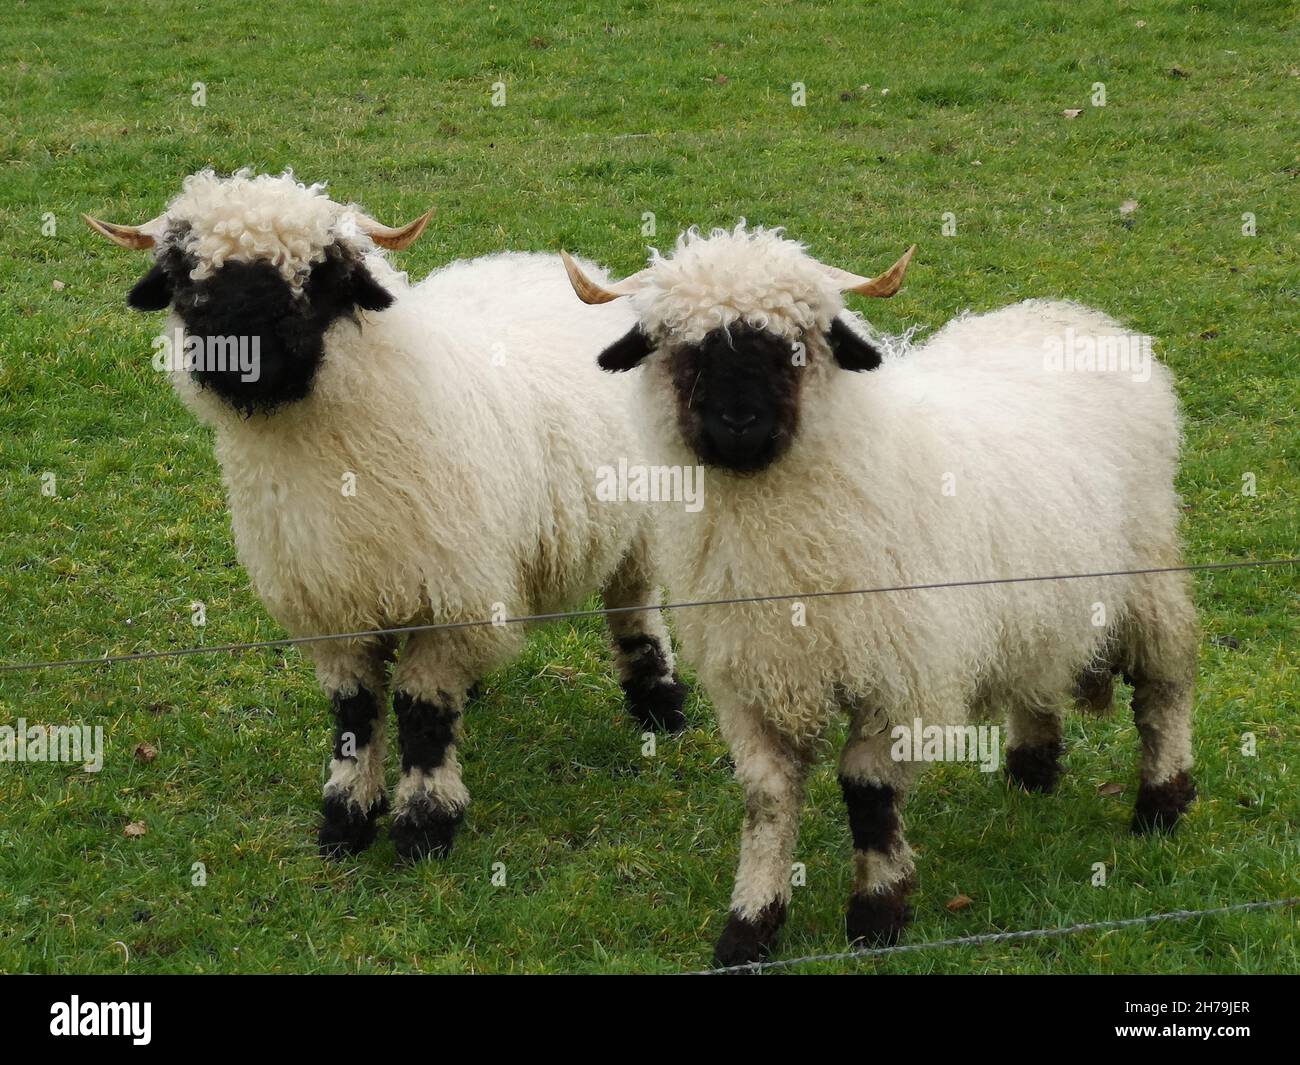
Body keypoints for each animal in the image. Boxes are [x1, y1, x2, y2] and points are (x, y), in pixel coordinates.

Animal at [84, 168, 688, 862]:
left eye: (321, 273)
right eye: (184, 272)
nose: (237, 346)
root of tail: (542, 262)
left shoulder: (448, 598)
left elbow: (420, 712)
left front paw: (424, 823)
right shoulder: (333, 607)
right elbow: (354, 711)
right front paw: (346, 816)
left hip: (639, 529)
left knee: (635, 609)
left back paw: (659, 706)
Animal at [562, 224, 1198, 967]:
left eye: (796, 345)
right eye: (684, 347)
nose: (739, 422)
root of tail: (1074, 315)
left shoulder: (898, 675)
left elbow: (868, 795)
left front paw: (877, 914)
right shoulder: (752, 678)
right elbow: (767, 800)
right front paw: (749, 926)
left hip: (1148, 576)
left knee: (1164, 686)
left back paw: (1161, 804)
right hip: (1037, 599)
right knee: (1037, 670)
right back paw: (1032, 770)